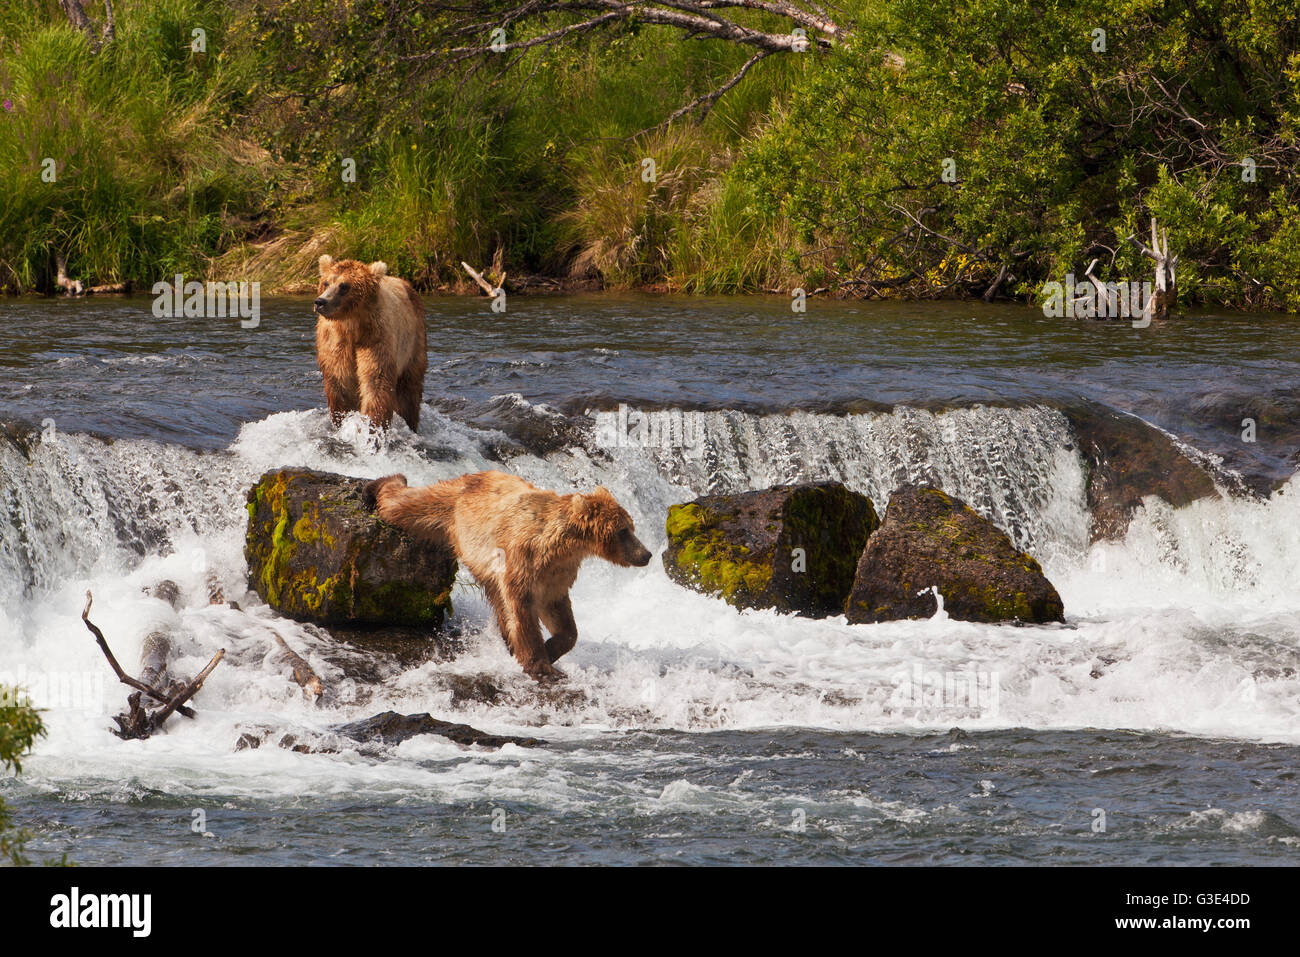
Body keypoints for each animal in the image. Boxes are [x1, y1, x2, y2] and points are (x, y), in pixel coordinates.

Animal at [314, 254, 427, 432]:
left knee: (409, 389)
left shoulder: (376, 338)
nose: (321, 302)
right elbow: (340, 382)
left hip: (414, 341)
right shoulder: (335, 342)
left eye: (344, 286)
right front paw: (343, 421)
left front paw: (372, 425)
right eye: (326, 282)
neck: (352, 327)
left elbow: (376, 381)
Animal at [364, 470, 652, 681]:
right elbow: (522, 609)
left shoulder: (557, 574)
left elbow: (560, 615)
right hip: (454, 510)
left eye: (631, 527)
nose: (646, 554)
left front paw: (552, 648)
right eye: (624, 530)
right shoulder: (523, 560)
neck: (563, 546)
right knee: (408, 505)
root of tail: (474, 476)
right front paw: (542, 665)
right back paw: (386, 483)